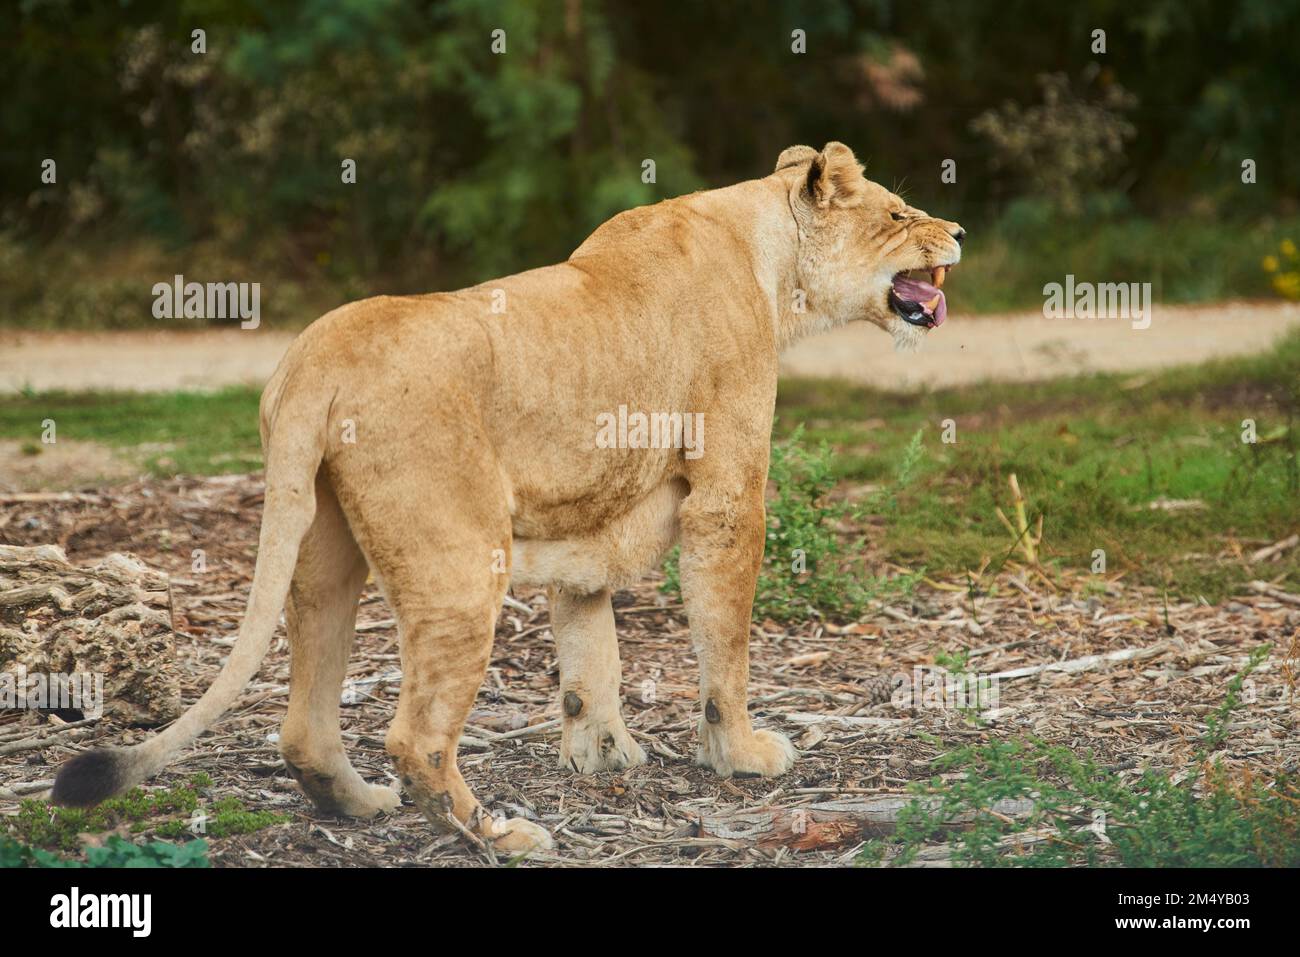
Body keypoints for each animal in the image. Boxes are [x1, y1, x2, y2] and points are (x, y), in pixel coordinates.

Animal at [53, 142, 964, 853]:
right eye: (897, 212)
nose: (956, 233)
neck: (768, 257)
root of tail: (314, 356)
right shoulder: (727, 492)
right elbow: (724, 642)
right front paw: (740, 753)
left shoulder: (592, 512)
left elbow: (590, 647)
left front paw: (604, 755)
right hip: (460, 563)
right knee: (417, 736)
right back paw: (501, 833)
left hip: (322, 546)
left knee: (307, 722)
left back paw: (362, 805)